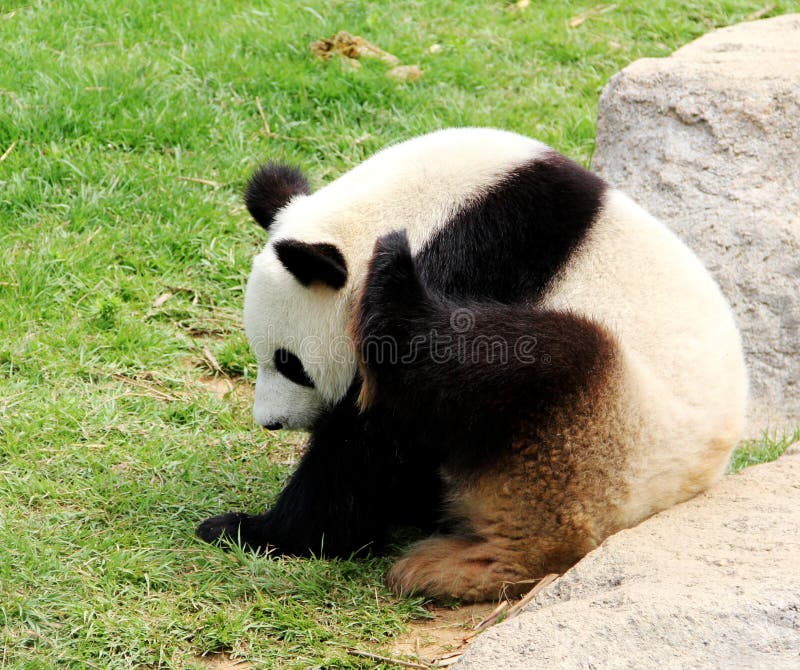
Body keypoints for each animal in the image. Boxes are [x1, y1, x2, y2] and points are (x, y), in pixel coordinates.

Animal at [197, 128, 747, 602]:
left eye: (289, 363)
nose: (271, 422)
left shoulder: (483, 256)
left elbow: (384, 429)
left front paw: (253, 530)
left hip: (609, 441)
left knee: (550, 362)